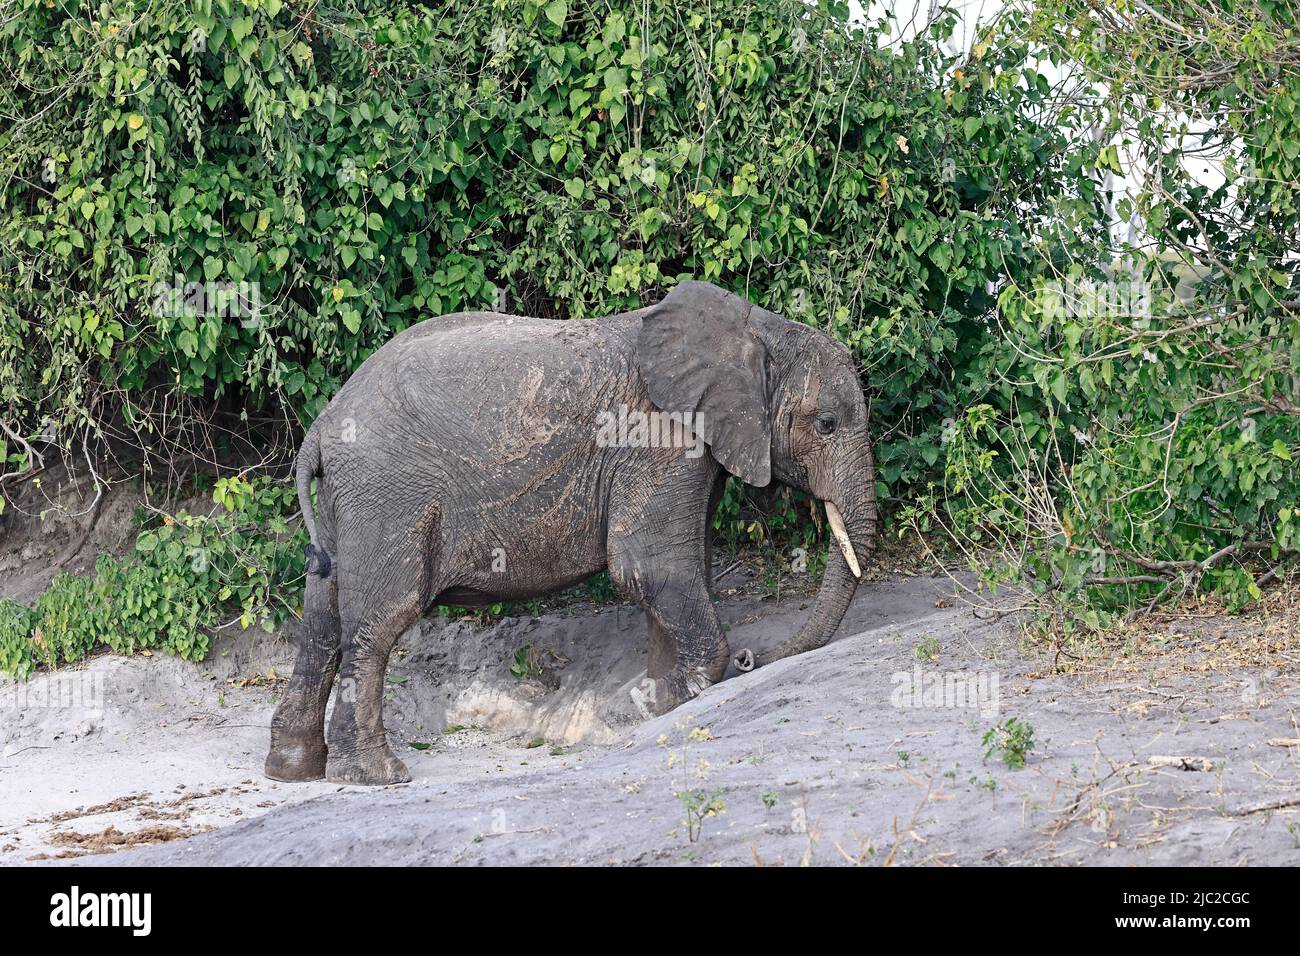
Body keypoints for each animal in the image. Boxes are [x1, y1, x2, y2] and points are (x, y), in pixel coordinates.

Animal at [265, 280, 877, 786]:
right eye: (826, 424)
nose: (761, 658)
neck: (758, 329)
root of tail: (323, 425)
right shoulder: (654, 436)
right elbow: (649, 564)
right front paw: (660, 703)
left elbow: (681, 567)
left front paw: (656, 703)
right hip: (389, 496)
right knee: (379, 620)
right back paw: (377, 776)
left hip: (349, 503)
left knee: (321, 616)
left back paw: (291, 770)